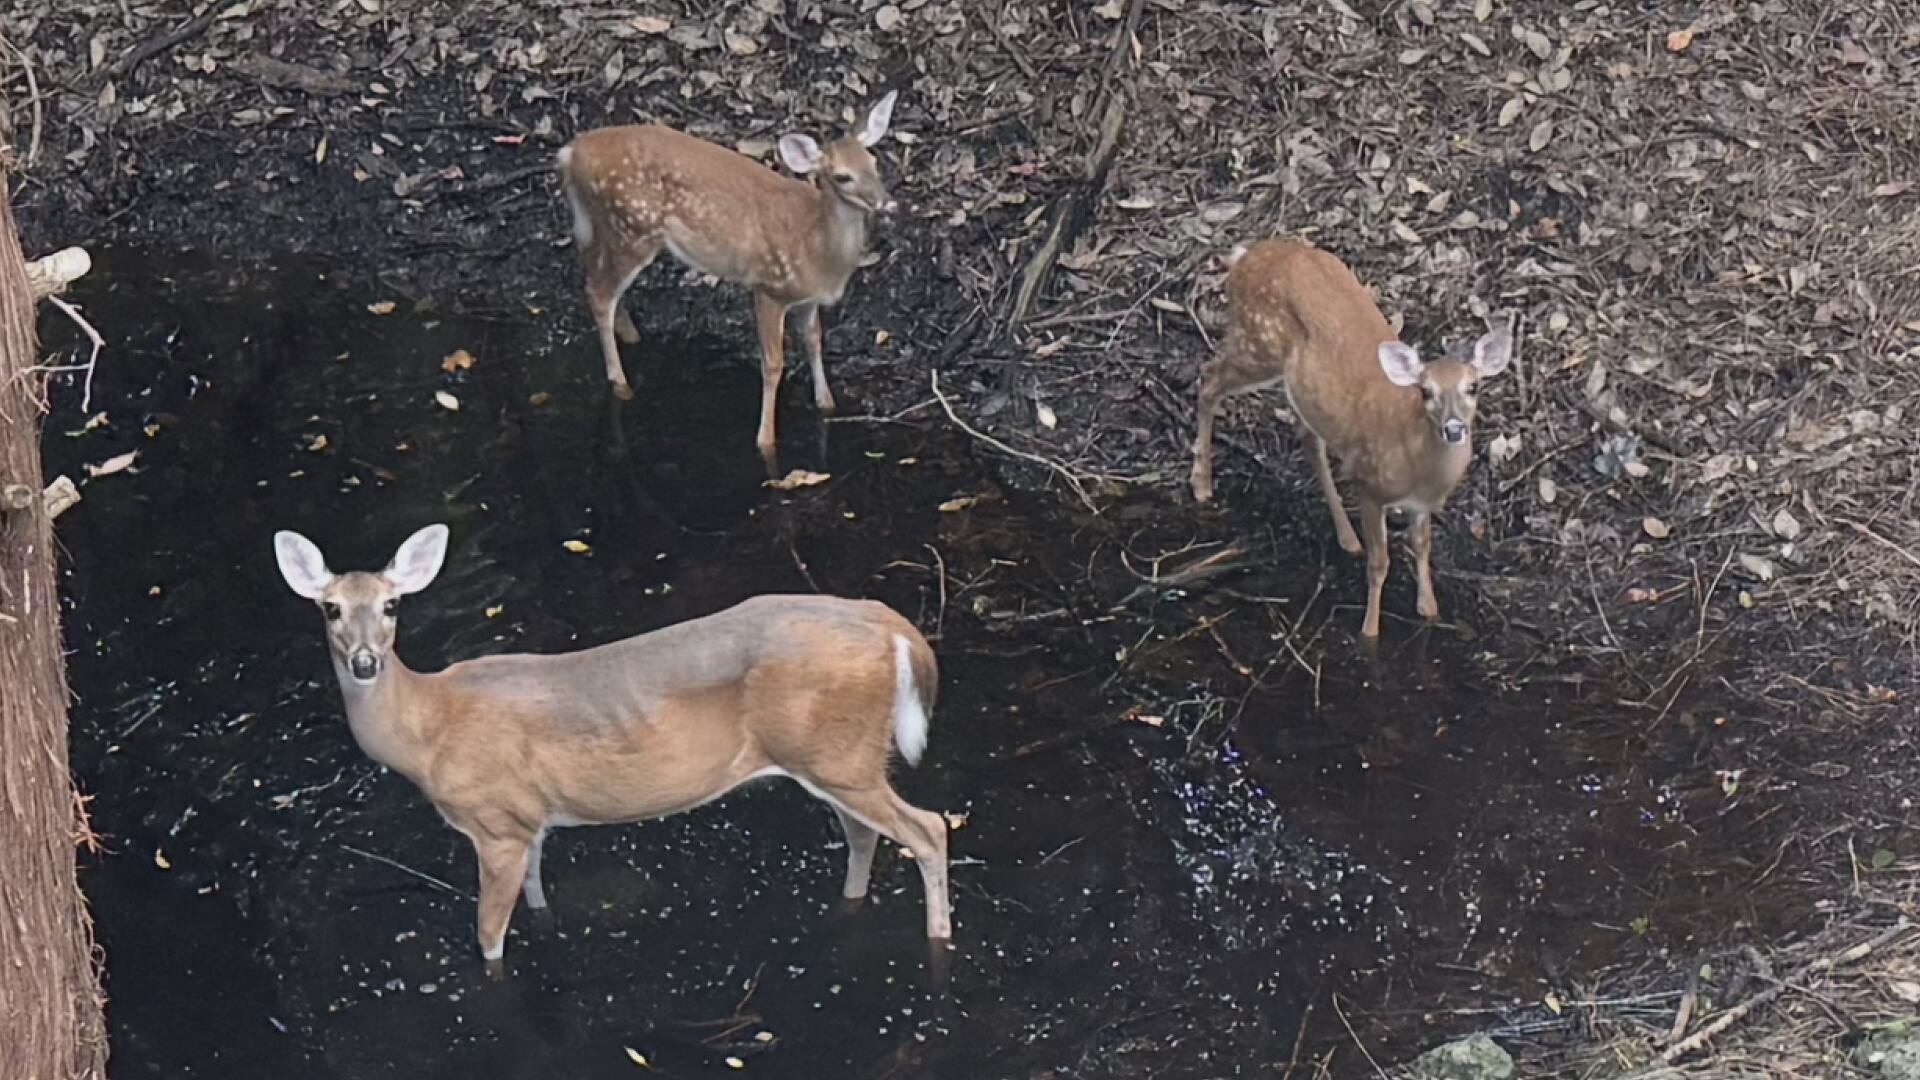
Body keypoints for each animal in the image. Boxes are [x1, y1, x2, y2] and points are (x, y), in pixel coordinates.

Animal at [272, 523, 950, 976]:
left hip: (836, 756)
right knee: (864, 834)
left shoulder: (495, 823)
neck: (430, 727)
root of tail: (892, 626)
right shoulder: (528, 819)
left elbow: (488, 933)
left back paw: (938, 938)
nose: (365, 662)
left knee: (930, 828)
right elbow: (537, 895)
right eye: (330, 609)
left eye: (391, 605)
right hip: (835, 756)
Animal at [557, 92, 900, 463]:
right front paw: (765, 440)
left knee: (594, 275)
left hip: (611, 228)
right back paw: (621, 383)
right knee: (599, 295)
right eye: (842, 176)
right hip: (633, 230)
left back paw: (631, 335)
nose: (887, 203)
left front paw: (826, 405)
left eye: (873, 162)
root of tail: (570, 152)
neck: (817, 249)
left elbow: (814, 341)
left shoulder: (808, 300)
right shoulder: (768, 287)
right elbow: (773, 363)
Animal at [1190, 240, 1513, 639]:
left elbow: (1422, 547)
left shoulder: (1422, 505)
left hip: (1298, 383)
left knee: (1306, 437)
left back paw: (1347, 537)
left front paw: (1429, 610)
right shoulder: (1370, 485)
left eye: (1474, 386)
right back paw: (1201, 485)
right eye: (1425, 391)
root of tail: (1244, 256)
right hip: (1257, 343)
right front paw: (1369, 630)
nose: (1453, 428)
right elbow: (1380, 563)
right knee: (1208, 378)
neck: (1417, 469)